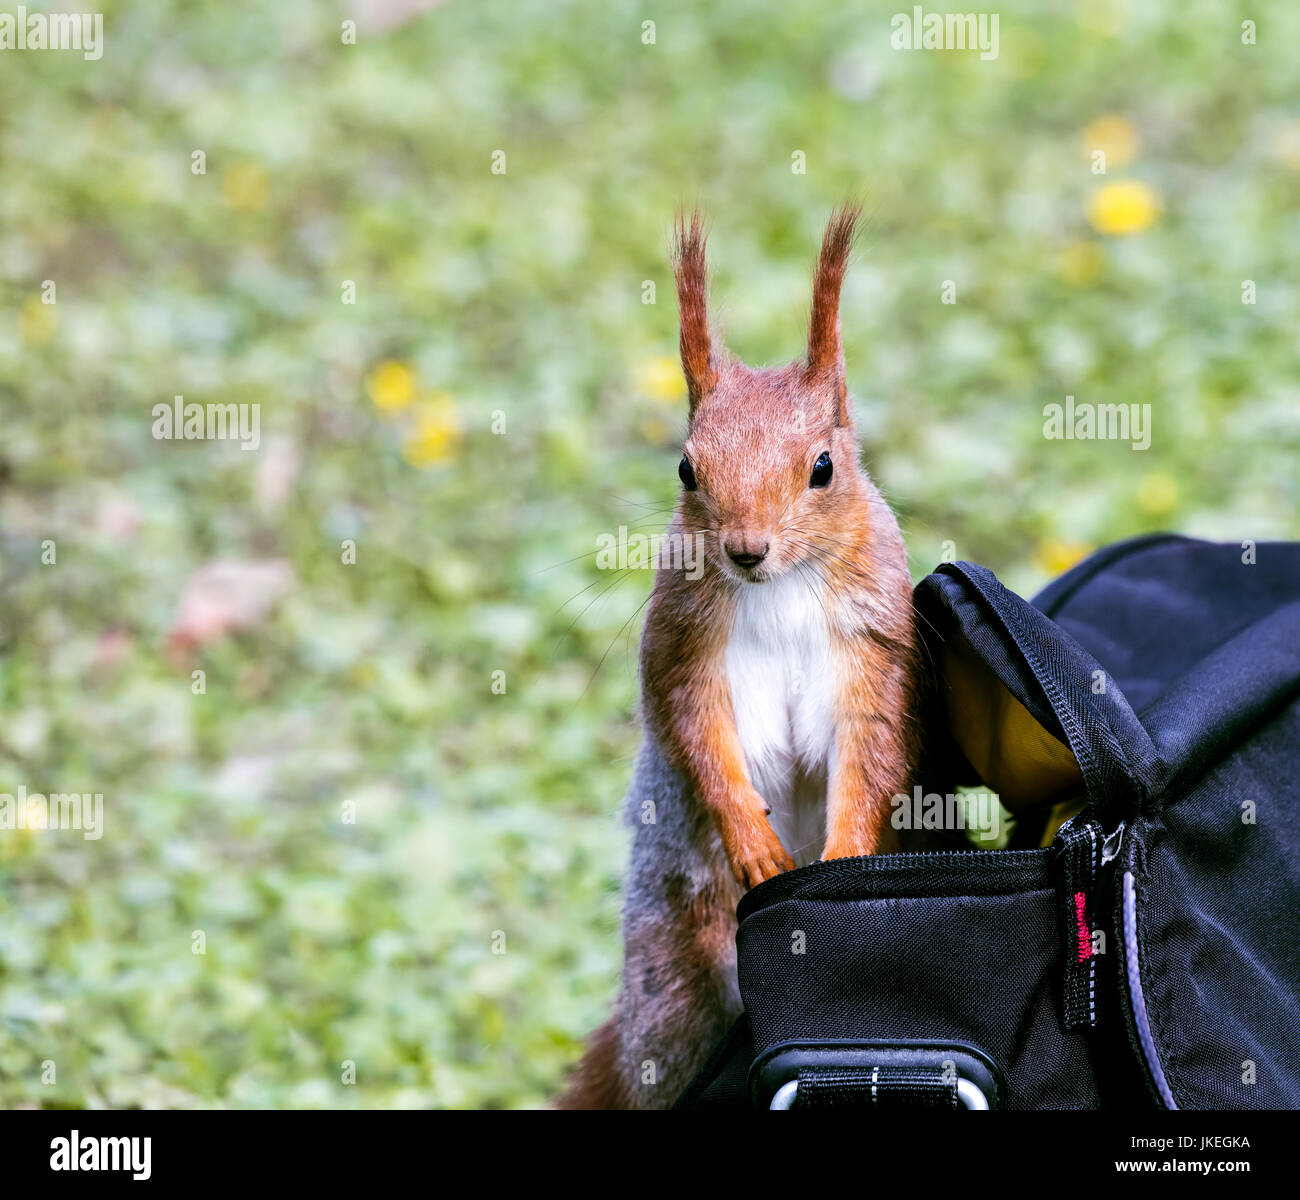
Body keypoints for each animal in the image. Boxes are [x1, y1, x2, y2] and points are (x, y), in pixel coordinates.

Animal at [557, 205, 920, 1108]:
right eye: (687, 466)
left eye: (824, 467)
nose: (746, 550)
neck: (778, 587)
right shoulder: (684, 645)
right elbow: (695, 735)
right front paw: (753, 840)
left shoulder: (877, 648)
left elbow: (873, 751)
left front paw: (847, 855)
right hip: (674, 986)